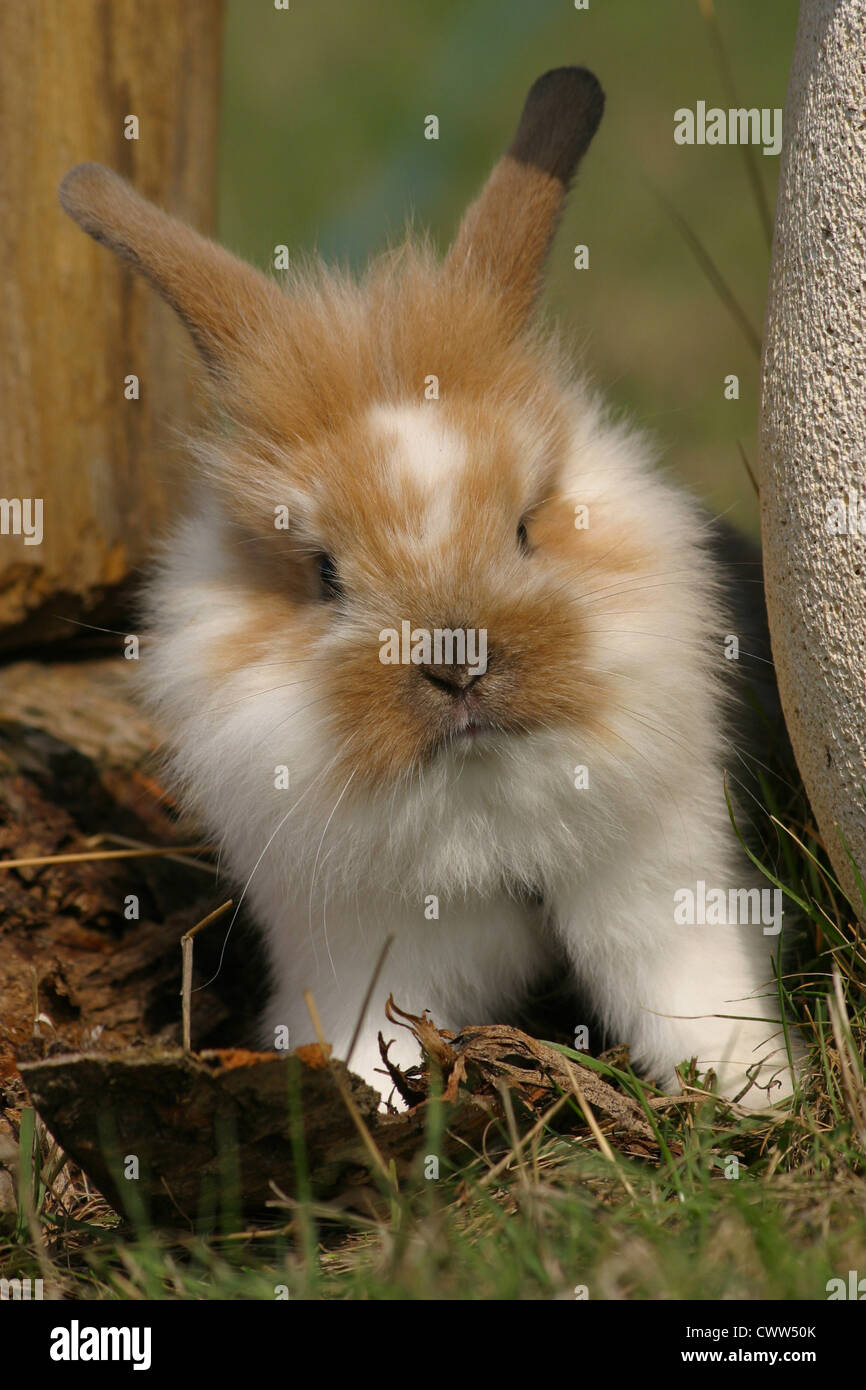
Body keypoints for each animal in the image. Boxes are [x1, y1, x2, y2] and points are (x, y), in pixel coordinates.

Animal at [59, 66, 804, 1110]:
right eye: (323, 574)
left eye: (528, 527)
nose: (457, 667)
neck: (478, 807)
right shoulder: (365, 949)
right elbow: (368, 1038)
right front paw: (363, 1105)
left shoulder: (660, 888)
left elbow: (690, 997)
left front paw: (754, 1098)